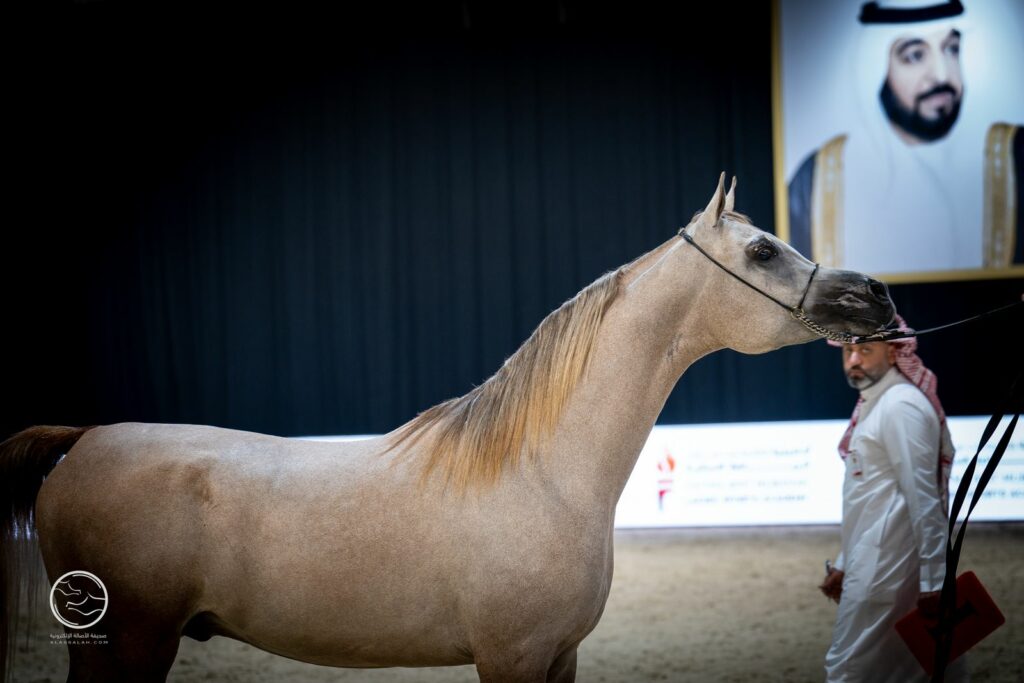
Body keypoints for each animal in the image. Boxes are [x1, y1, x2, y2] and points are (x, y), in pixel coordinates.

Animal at [0, 174, 895, 682]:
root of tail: (83, 439)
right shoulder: (511, 658)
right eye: (762, 251)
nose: (876, 294)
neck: (542, 471)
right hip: (130, 644)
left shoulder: (558, 658)